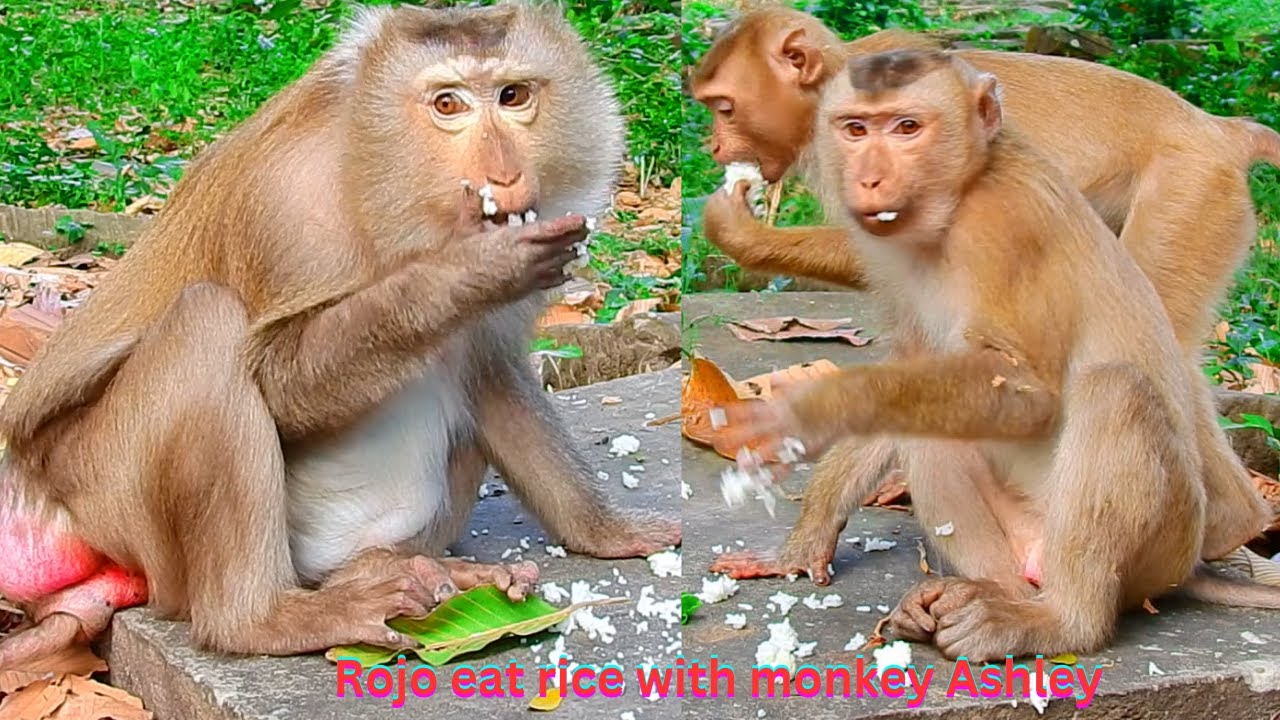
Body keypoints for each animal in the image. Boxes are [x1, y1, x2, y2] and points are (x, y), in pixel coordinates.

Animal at [0, 3, 679, 667]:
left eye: (513, 95)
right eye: (448, 104)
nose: (505, 173)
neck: (379, 178)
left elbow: (489, 366)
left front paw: (605, 530)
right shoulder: (285, 201)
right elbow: (278, 384)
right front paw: (462, 273)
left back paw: (393, 569)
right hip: (108, 494)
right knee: (206, 323)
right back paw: (261, 619)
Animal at [714, 49, 1280, 660]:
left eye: (907, 127)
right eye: (856, 129)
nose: (869, 177)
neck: (957, 201)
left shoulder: (1008, 230)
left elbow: (1027, 388)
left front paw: (815, 408)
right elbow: (912, 370)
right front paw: (803, 543)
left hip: (1155, 548)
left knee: (1115, 390)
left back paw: (1060, 621)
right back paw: (975, 598)